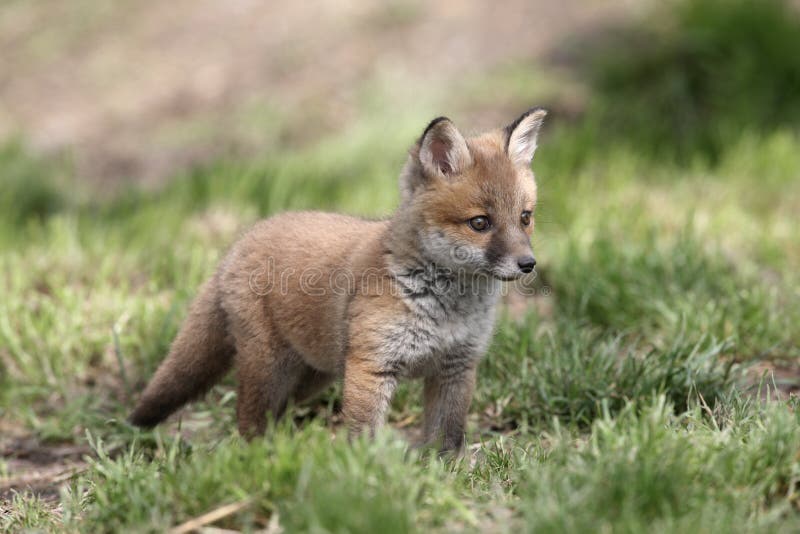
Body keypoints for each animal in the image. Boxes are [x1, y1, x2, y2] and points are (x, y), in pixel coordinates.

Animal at [129, 108, 547, 452]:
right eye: (480, 223)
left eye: (525, 218)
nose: (528, 264)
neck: (446, 310)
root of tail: (242, 240)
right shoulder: (371, 367)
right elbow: (364, 437)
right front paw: (367, 475)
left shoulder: (456, 368)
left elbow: (447, 438)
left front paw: (443, 478)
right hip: (269, 368)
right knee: (249, 423)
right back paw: (258, 462)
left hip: (315, 374)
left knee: (279, 417)